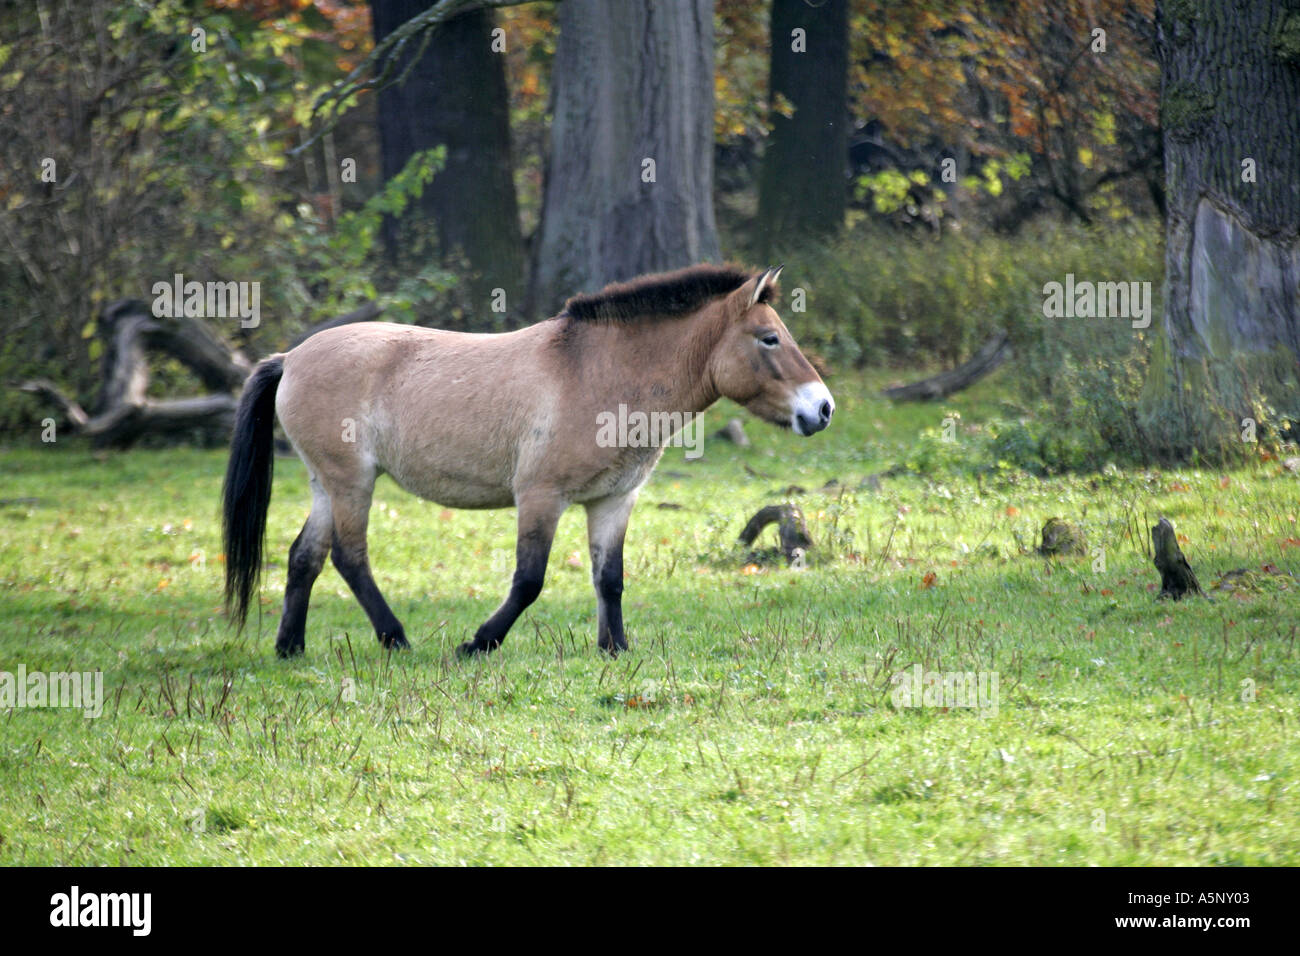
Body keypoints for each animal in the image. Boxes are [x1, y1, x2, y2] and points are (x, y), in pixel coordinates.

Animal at [221, 264, 834, 658]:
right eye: (769, 339)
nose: (822, 408)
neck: (600, 375)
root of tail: (291, 357)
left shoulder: (613, 500)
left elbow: (609, 578)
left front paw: (615, 648)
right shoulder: (541, 497)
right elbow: (529, 580)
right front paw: (478, 643)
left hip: (326, 483)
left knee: (305, 557)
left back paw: (291, 647)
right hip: (352, 483)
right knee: (350, 558)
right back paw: (395, 638)